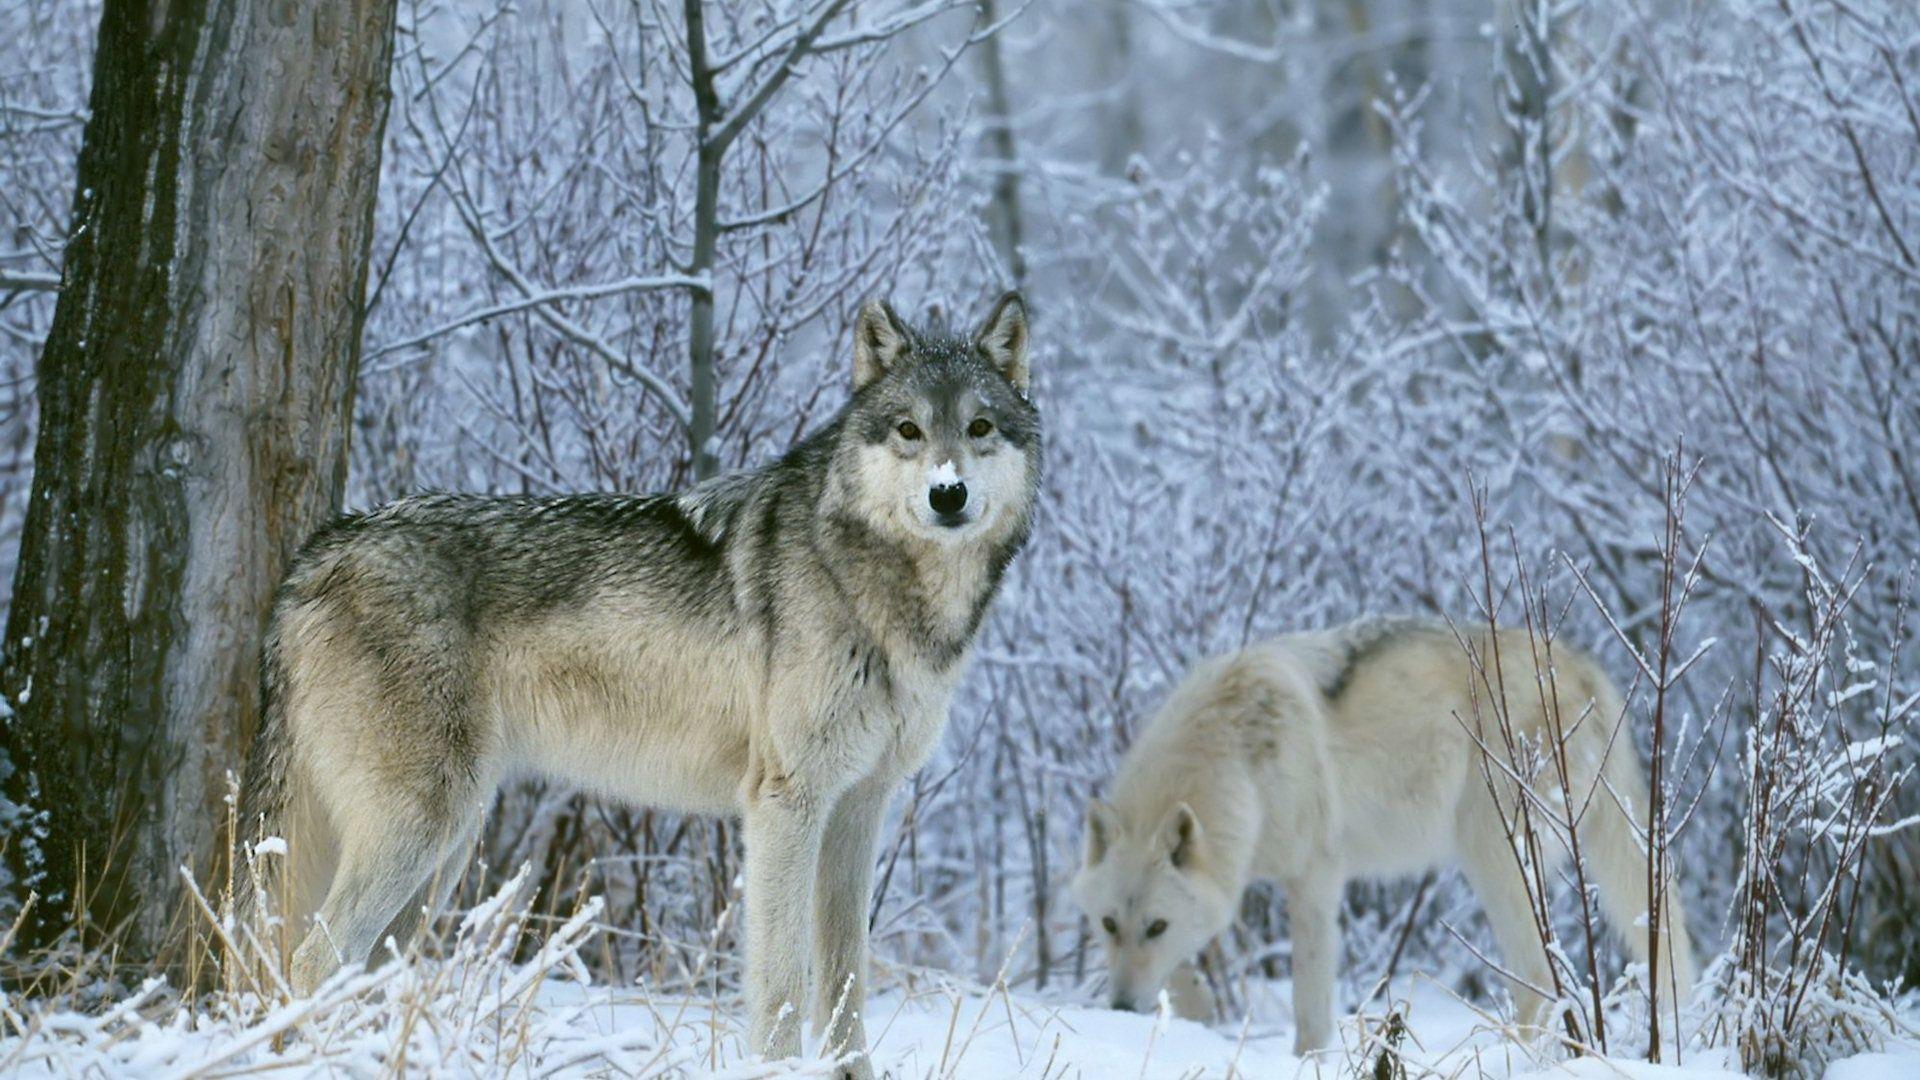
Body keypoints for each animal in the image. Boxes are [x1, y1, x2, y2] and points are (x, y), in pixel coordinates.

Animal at [237, 294, 1040, 1077]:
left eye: (979, 428)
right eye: (909, 429)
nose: (947, 493)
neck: (881, 592)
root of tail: (315, 553)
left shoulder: (858, 810)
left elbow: (845, 986)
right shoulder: (785, 804)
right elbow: (782, 984)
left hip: (444, 853)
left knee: (360, 974)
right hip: (422, 829)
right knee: (310, 960)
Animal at [1072, 617, 1697, 1054]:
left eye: (1155, 926)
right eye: (1108, 925)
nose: (1119, 1007)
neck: (1237, 758)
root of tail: (1583, 666)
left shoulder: (1315, 879)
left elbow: (1309, 1006)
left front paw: (1306, 1061)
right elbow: (1185, 973)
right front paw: (1196, 1013)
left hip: (1494, 860)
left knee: (1539, 984)